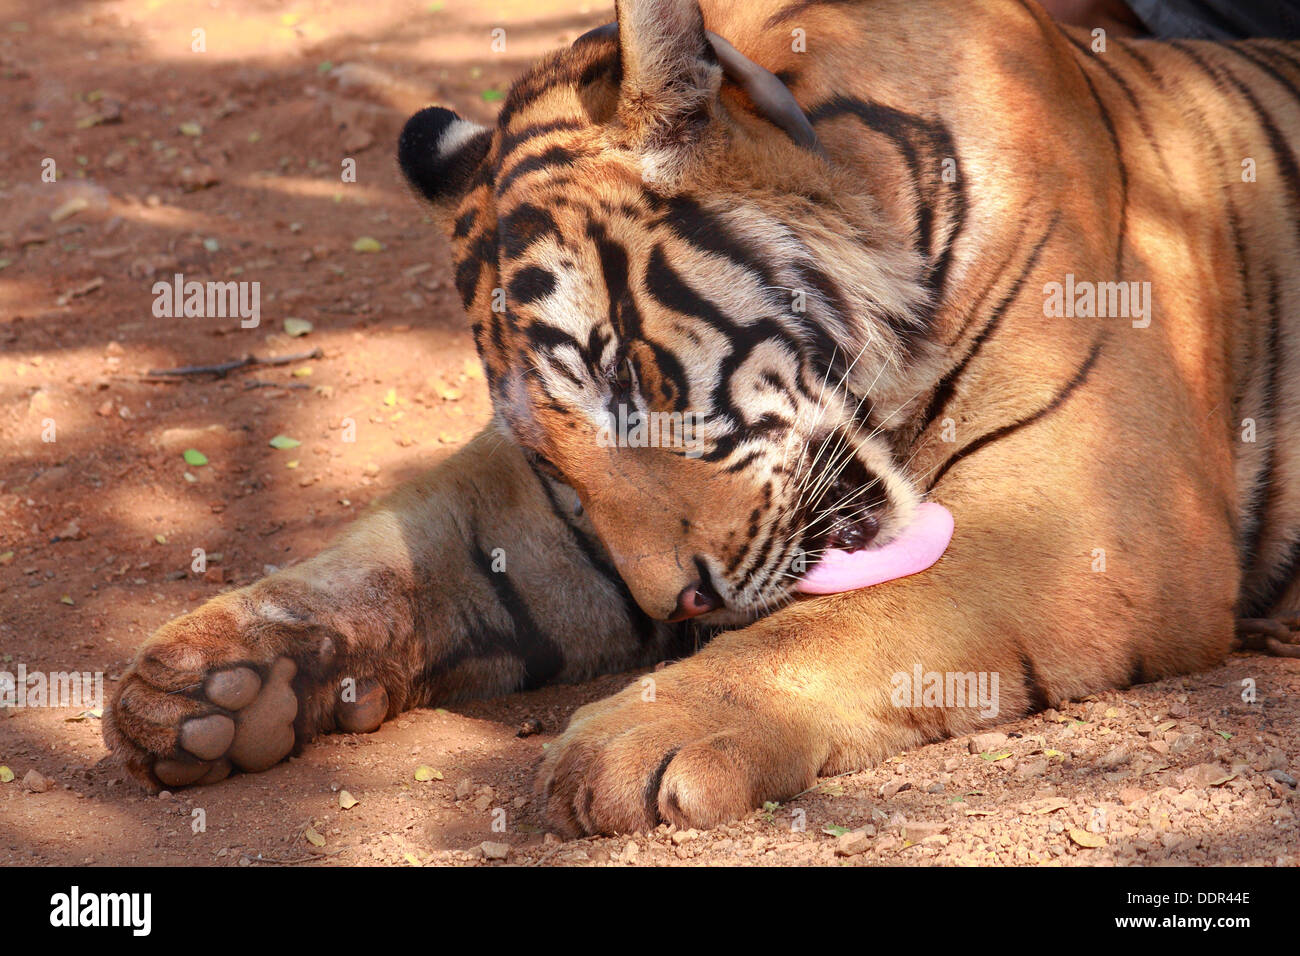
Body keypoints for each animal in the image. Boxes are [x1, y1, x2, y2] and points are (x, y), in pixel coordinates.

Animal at [104, 0, 1300, 837]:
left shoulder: (1094, 513)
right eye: (553, 456)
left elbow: (849, 617)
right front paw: (212, 681)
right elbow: (412, 551)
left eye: (630, 378)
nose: (678, 603)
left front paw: (639, 737)